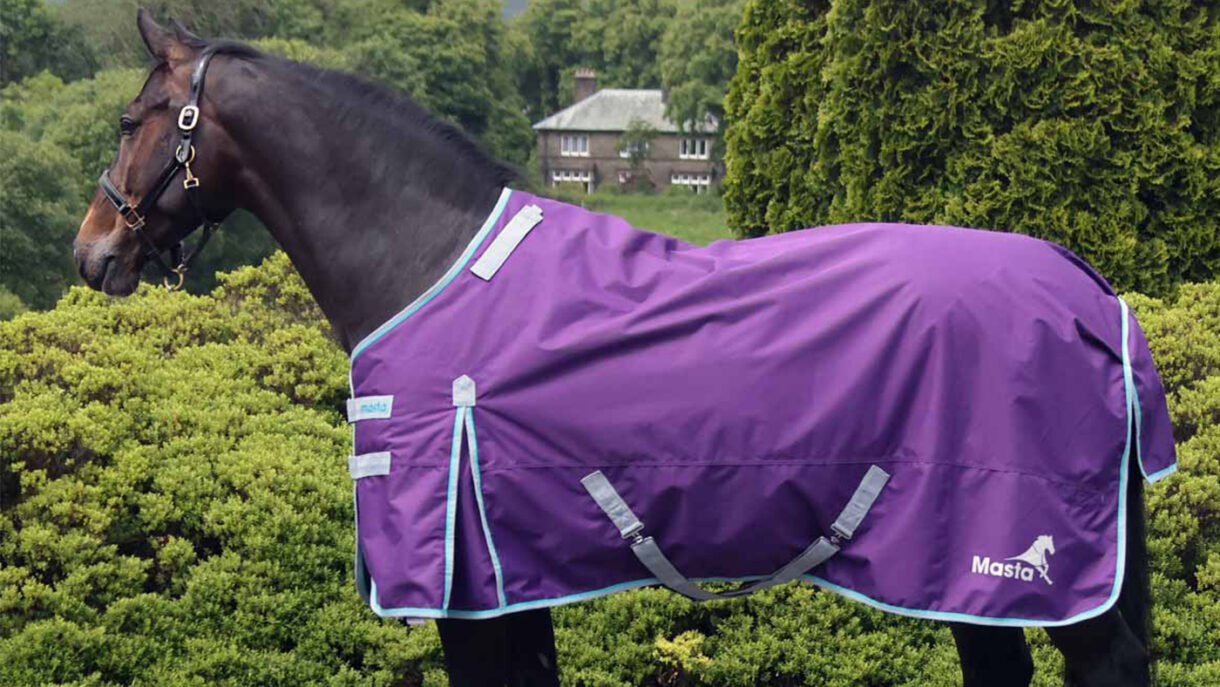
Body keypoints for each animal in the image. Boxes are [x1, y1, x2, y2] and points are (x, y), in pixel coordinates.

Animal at [72, 11, 1168, 687]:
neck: (426, 258)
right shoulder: (511, 579)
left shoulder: (465, 583)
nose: (95, 251)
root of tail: (1089, 294)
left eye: (131, 119)